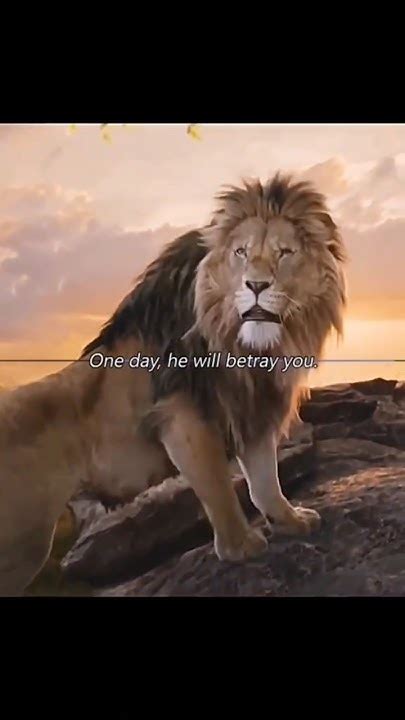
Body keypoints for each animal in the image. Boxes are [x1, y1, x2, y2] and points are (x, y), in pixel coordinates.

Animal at [0, 173, 347, 596]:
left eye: (285, 252)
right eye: (242, 252)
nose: (256, 286)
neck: (247, 344)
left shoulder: (253, 410)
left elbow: (265, 479)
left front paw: (290, 520)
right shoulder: (184, 415)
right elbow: (217, 486)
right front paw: (240, 547)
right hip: (23, 546)